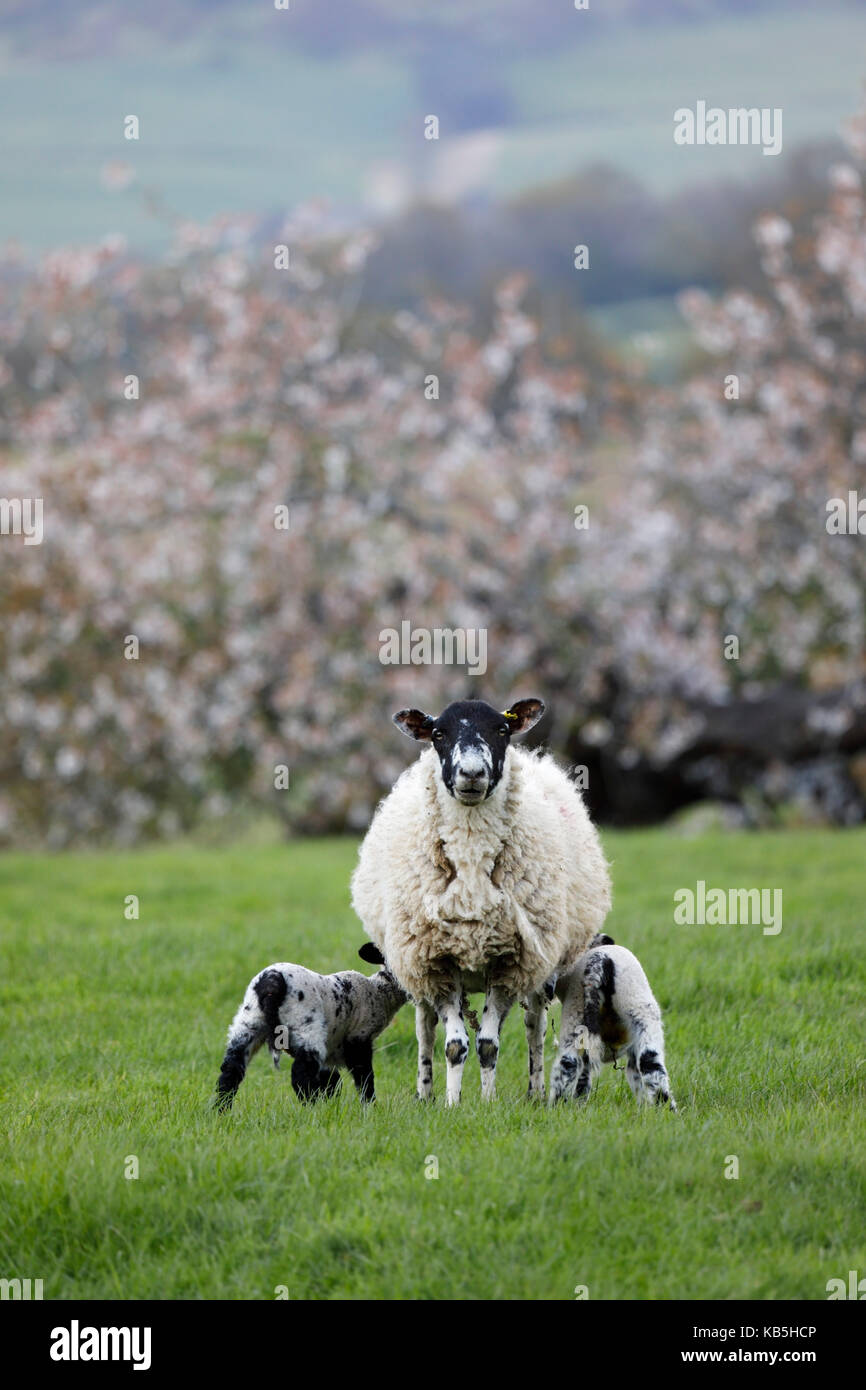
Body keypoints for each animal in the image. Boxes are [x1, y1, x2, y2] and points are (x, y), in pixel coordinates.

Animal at [215, 953, 408, 1110]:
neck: (379, 992)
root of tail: (272, 983)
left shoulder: (330, 1052)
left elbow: (331, 1082)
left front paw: (331, 1105)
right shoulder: (358, 1039)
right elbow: (364, 1077)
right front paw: (370, 1107)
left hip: (248, 1022)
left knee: (231, 1069)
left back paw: (221, 1110)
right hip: (306, 1024)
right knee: (301, 1073)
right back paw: (312, 1108)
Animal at [350, 697, 612, 1104]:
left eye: (501, 730)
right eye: (438, 733)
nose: (472, 774)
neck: (472, 860)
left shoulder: (510, 962)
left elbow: (489, 1043)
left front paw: (488, 1104)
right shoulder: (436, 962)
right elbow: (454, 1044)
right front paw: (452, 1104)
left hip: (540, 970)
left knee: (534, 1025)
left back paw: (535, 1091)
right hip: (414, 967)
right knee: (425, 1028)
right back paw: (425, 1093)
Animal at [548, 935, 676, 1109]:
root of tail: (600, 961)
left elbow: (583, 1081)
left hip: (576, 1013)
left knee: (567, 1064)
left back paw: (556, 1108)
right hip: (640, 1012)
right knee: (651, 1065)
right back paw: (667, 1111)